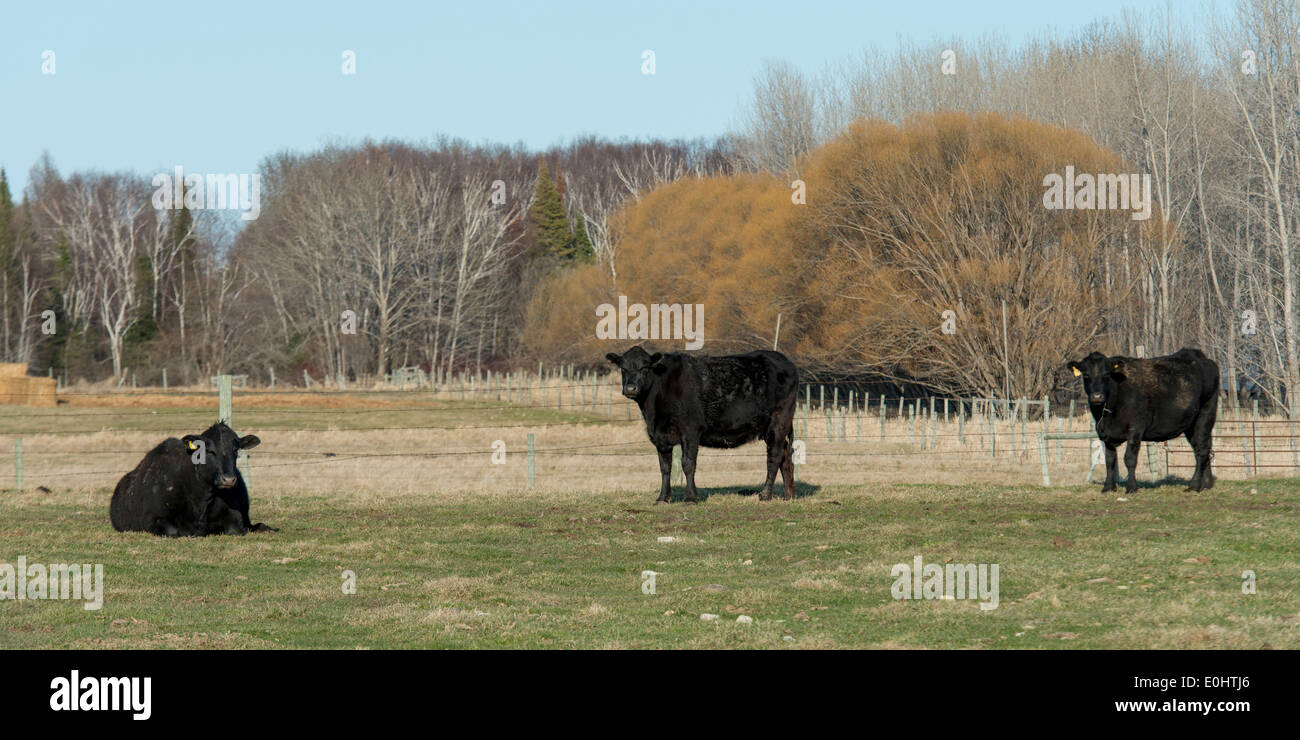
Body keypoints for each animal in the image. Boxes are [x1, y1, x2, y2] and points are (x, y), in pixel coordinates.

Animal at [109, 422, 276, 536]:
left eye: (235, 450)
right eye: (209, 450)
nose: (228, 480)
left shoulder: (237, 518)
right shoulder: (153, 518)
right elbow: (174, 531)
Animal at [605, 345, 799, 503]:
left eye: (645, 368)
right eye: (623, 368)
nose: (630, 389)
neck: (653, 412)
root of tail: (784, 360)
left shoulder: (690, 431)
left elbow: (688, 464)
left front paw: (691, 498)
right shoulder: (661, 436)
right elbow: (665, 467)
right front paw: (662, 498)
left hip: (779, 420)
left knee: (774, 457)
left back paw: (765, 495)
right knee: (785, 456)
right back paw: (789, 496)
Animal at [1067, 348, 1219, 494]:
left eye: (1106, 375)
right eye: (1086, 375)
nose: (1097, 396)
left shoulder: (1135, 428)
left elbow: (1129, 458)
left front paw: (1131, 487)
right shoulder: (1105, 433)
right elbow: (1110, 460)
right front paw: (1108, 487)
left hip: (1205, 415)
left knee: (1202, 450)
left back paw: (1195, 485)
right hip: (1191, 425)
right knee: (1202, 447)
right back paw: (1207, 483)